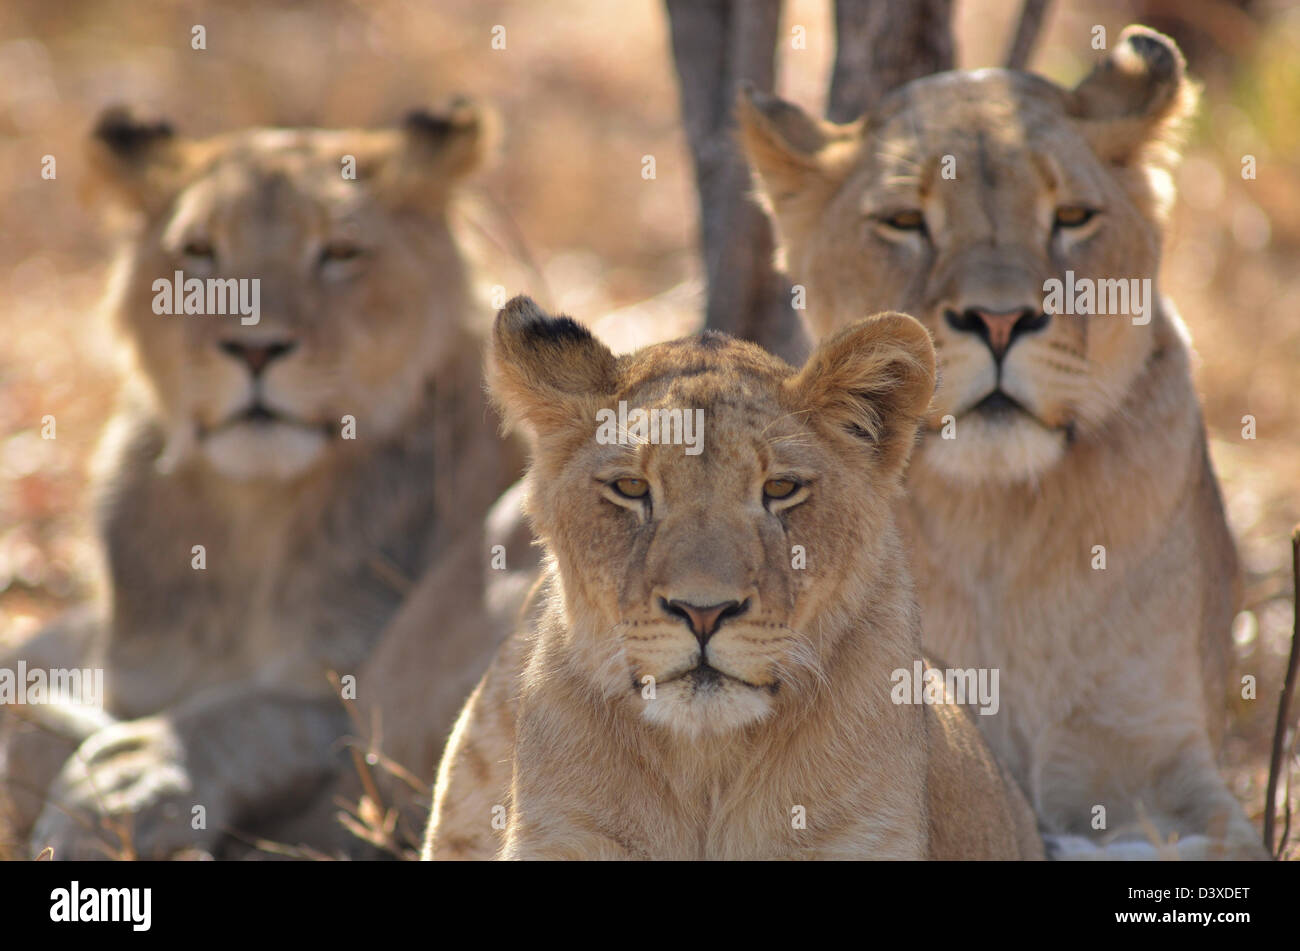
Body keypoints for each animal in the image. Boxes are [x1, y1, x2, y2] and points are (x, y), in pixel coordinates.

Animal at [0, 103, 519, 859]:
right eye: (199, 251)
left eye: (340, 252)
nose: (254, 347)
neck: (254, 519)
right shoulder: (127, 666)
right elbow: (28, 712)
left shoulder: (347, 694)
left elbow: (249, 712)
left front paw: (119, 789)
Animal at [738, 25, 1264, 858]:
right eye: (904, 222)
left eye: (1073, 216)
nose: (997, 319)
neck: (993, 523)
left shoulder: (1165, 748)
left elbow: (1205, 839)